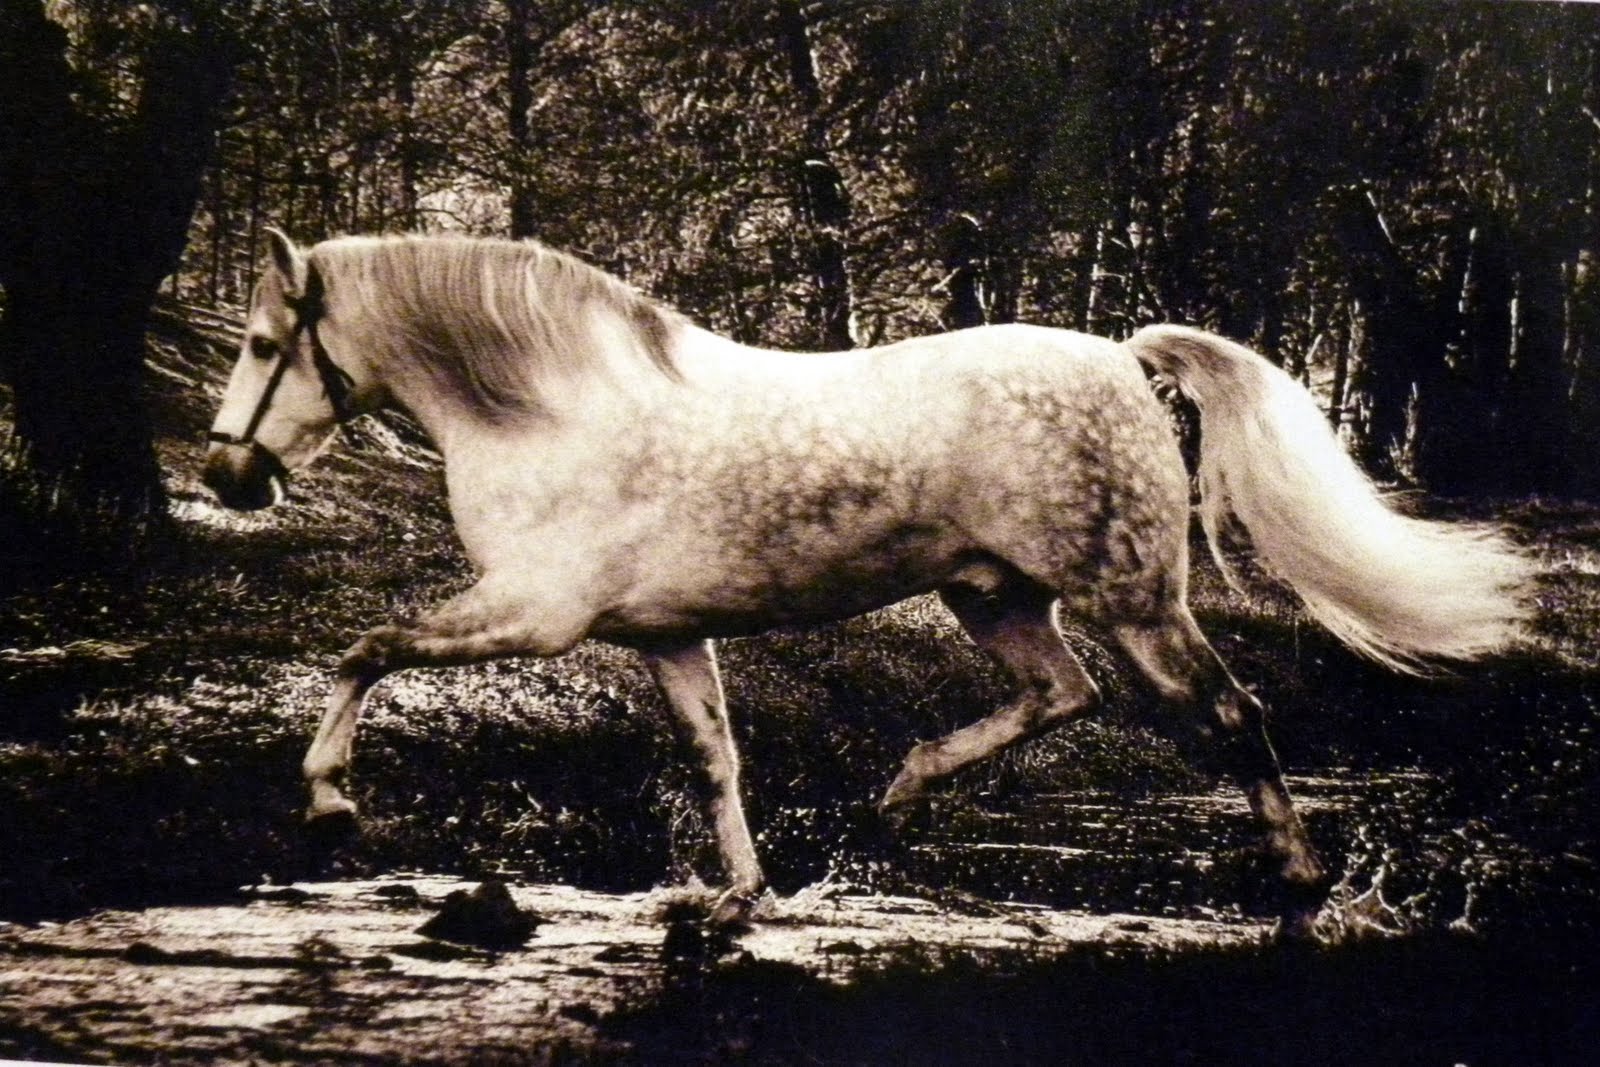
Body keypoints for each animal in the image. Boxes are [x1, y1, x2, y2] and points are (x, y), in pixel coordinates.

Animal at [203, 229, 1534, 939]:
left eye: (266, 345)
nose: (225, 472)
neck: (550, 410)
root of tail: (1123, 357)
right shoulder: (663, 636)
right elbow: (715, 757)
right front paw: (736, 895)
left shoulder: (535, 614)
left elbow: (367, 646)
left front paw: (328, 799)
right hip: (993, 595)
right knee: (1062, 696)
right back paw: (895, 795)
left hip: (1134, 598)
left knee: (1227, 713)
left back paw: (1301, 886)